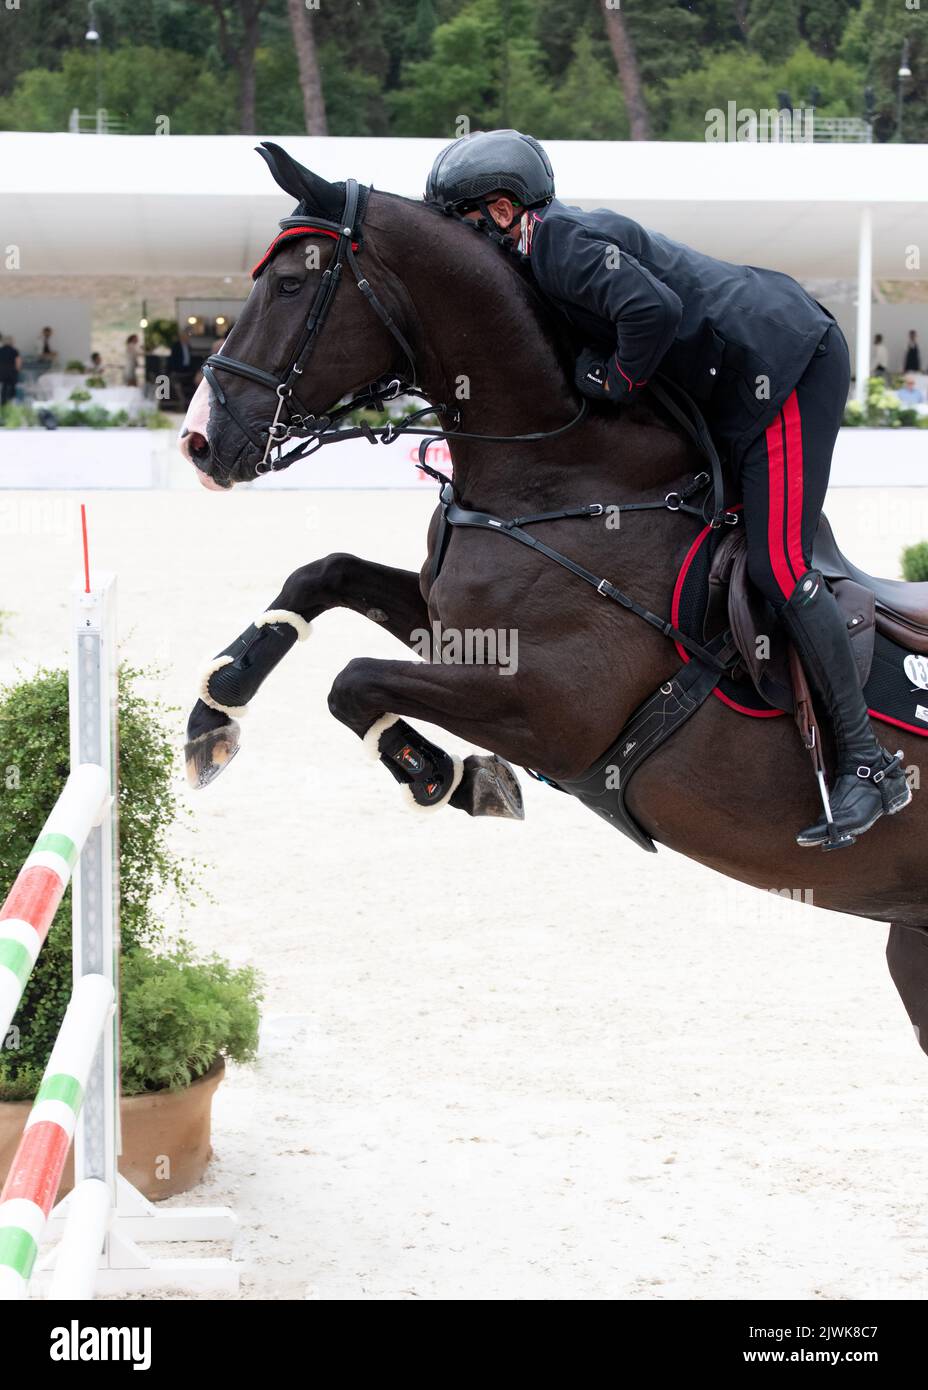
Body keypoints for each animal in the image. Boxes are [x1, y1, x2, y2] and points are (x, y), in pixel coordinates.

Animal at [179, 144, 928, 1057]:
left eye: (290, 283)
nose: (201, 442)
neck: (564, 477)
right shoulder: (458, 629)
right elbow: (322, 575)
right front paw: (215, 712)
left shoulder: (554, 714)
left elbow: (352, 679)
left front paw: (444, 775)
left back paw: (862, 789)